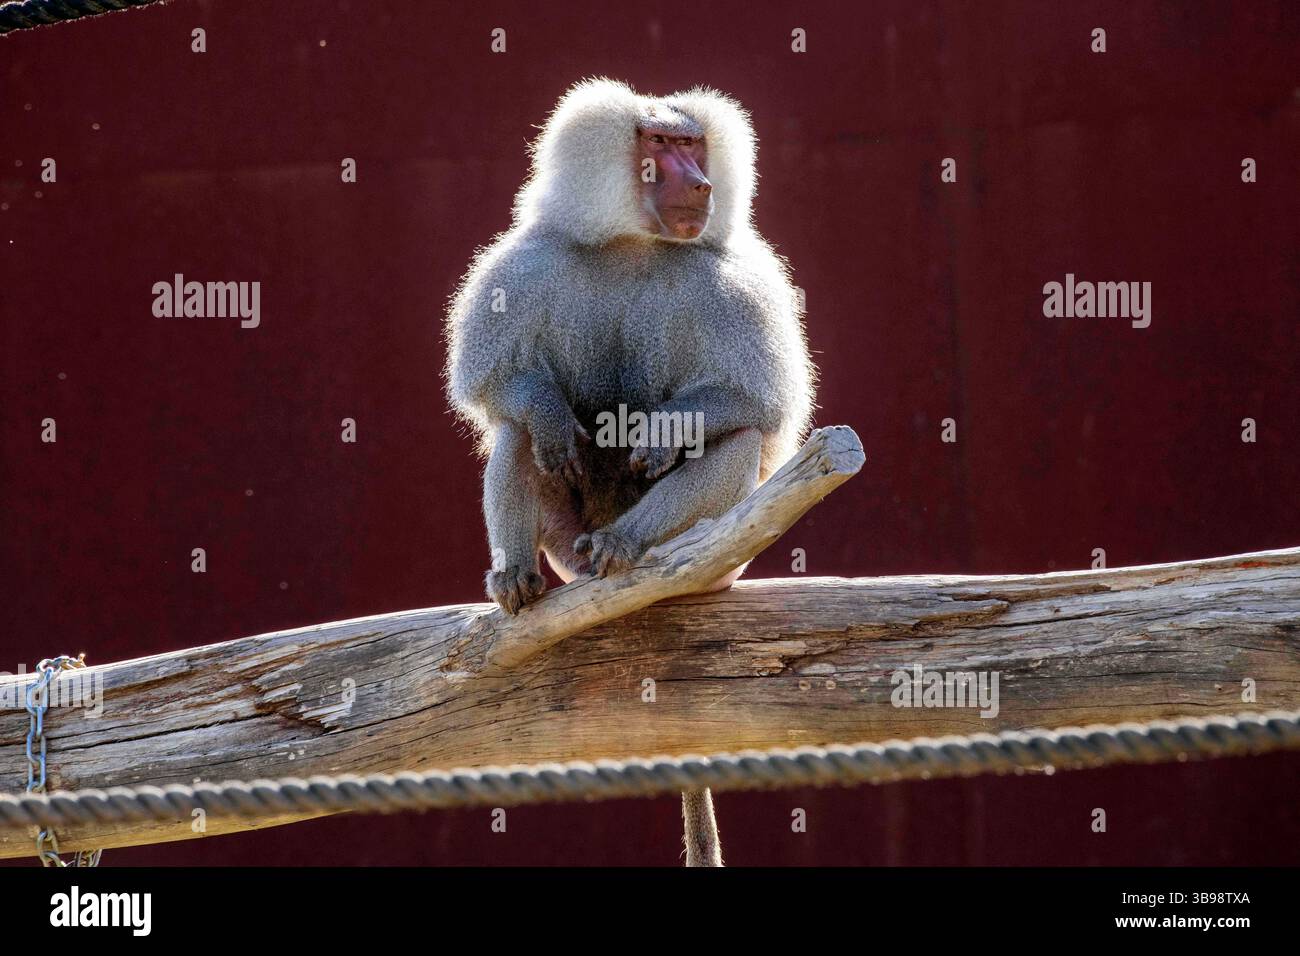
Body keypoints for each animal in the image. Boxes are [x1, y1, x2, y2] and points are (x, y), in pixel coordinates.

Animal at [445, 78, 815, 615]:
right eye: (658, 143)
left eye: (691, 144)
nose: (702, 184)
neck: (634, 243)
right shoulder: (525, 264)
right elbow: (494, 382)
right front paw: (547, 413)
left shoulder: (739, 285)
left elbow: (759, 403)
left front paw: (662, 431)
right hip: (564, 540)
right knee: (521, 427)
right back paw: (515, 576)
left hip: (721, 558)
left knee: (740, 436)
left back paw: (623, 542)